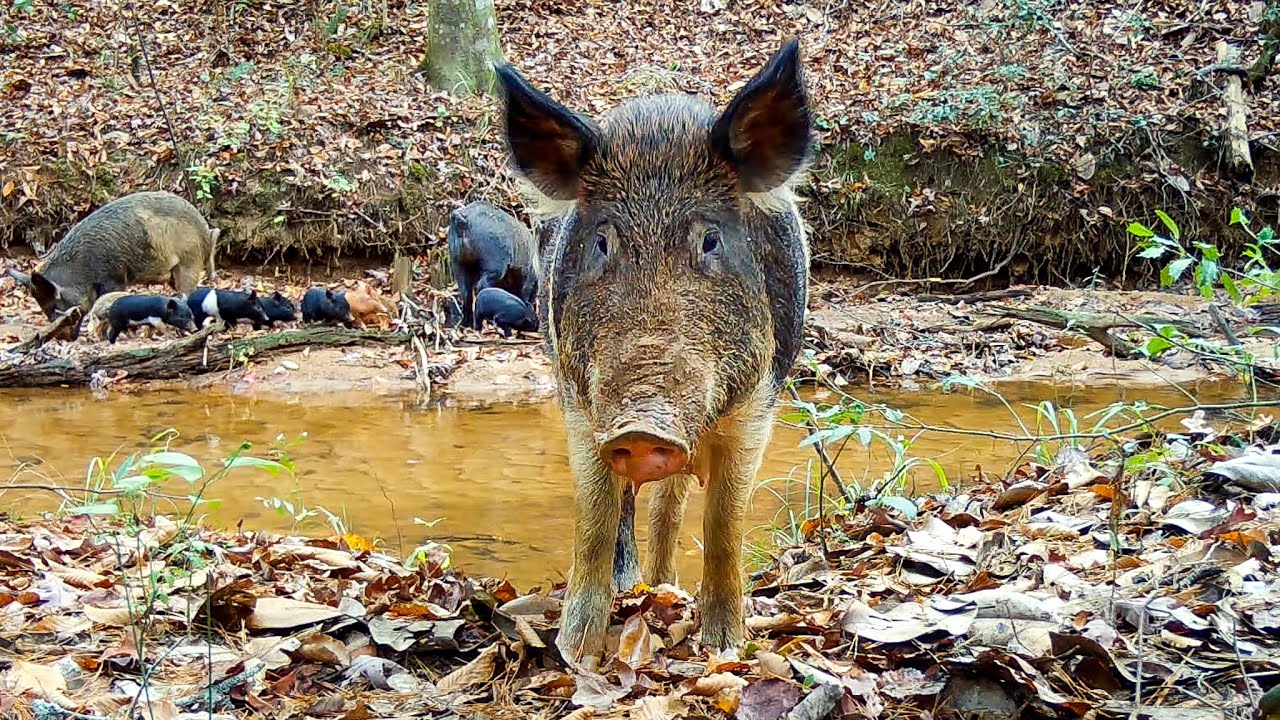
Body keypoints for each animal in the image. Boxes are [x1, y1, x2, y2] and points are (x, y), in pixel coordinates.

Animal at [6, 191, 219, 323]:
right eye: (42, 306)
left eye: (56, 304)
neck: (81, 269)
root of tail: (204, 229)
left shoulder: (113, 277)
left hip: (189, 260)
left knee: (188, 290)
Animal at [446, 200, 538, 329]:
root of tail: (464, 220)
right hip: (494, 267)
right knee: (481, 286)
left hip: (458, 263)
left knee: (466, 293)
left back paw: (467, 323)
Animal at [495, 38, 814, 665]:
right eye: (601, 243)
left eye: (710, 240)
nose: (641, 430)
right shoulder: (580, 406)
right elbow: (594, 522)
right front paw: (574, 652)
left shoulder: (756, 408)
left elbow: (724, 525)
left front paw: (724, 647)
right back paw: (637, 586)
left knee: (670, 510)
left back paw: (665, 587)